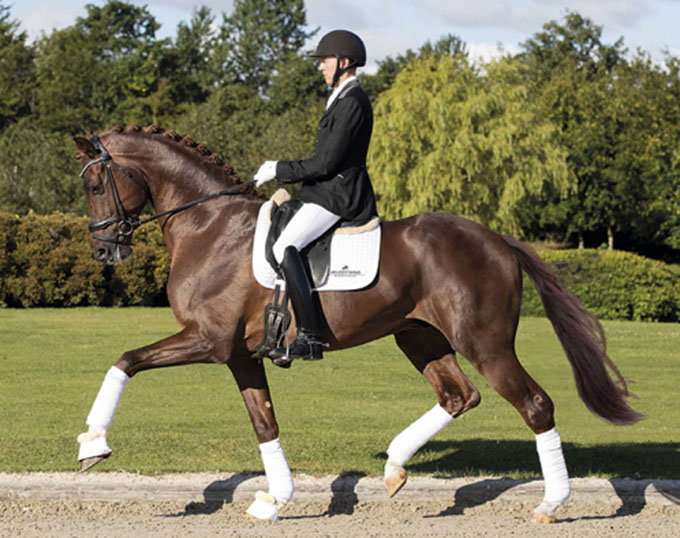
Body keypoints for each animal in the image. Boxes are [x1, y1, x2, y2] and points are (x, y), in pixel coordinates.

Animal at [74, 124, 641, 523]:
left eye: (98, 183)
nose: (104, 251)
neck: (210, 227)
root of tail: (498, 240)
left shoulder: (207, 342)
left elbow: (124, 361)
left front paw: (92, 444)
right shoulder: (237, 354)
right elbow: (264, 422)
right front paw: (275, 500)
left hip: (485, 344)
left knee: (534, 404)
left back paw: (552, 503)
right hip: (419, 336)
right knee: (459, 396)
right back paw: (393, 468)